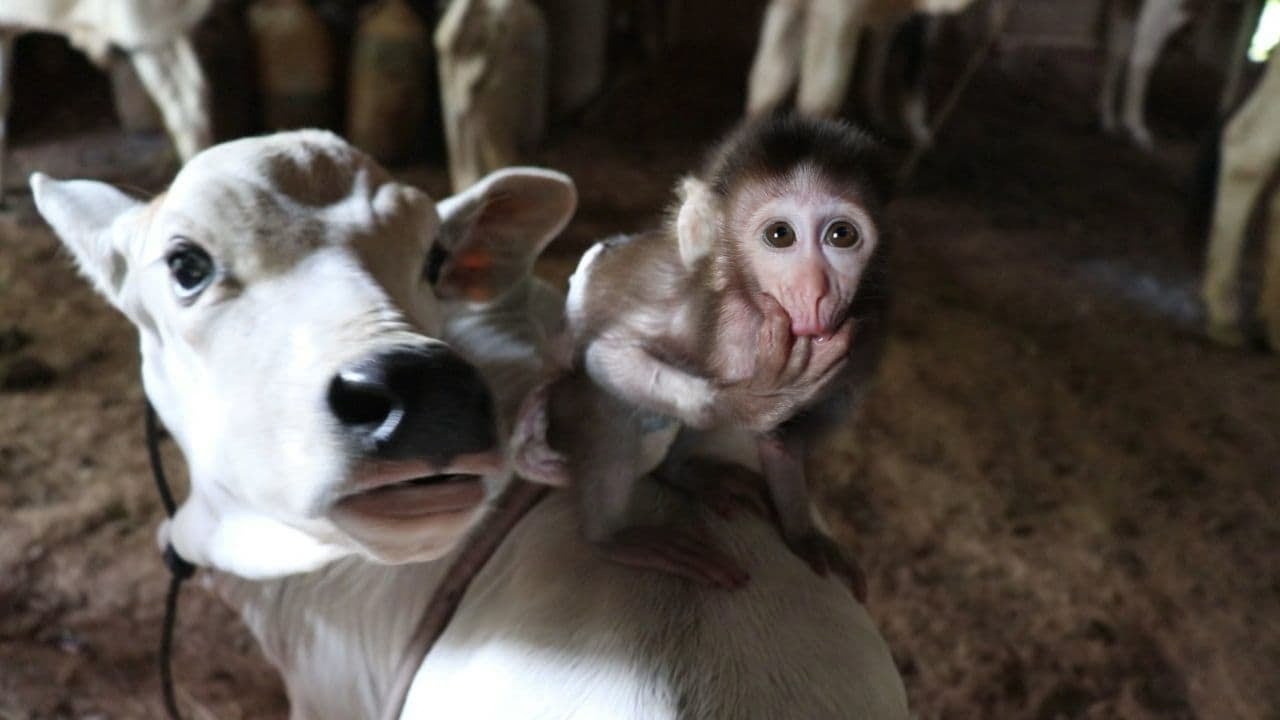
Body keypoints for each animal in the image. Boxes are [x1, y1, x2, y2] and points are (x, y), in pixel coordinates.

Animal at [521, 115, 891, 595]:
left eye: (841, 235)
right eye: (780, 235)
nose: (815, 291)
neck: (751, 306)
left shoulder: (864, 338)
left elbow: (783, 442)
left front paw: (804, 533)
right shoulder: (700, 310)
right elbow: (608, 357)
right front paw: (752, 401)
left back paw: (682, 472)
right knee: (608, 398)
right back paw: (612, 538)